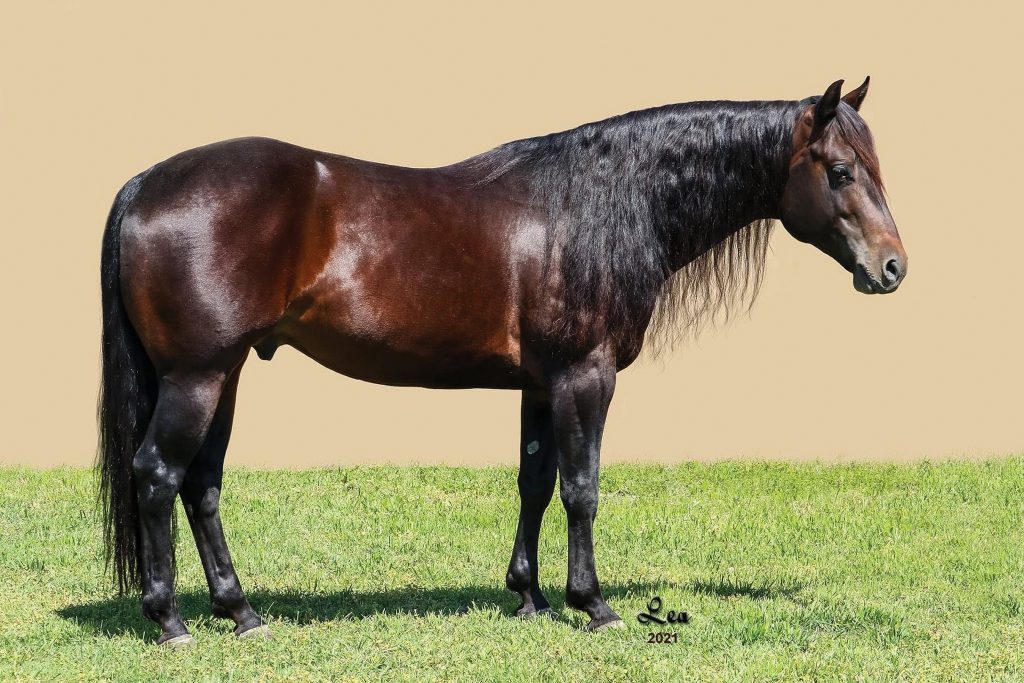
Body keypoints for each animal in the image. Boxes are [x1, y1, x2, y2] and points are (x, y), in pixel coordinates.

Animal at [97, 77, 906, 644]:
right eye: (839, 170)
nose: (893, 267)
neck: (596, 206)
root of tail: (145, 184)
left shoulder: (541, 386)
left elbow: (535, 483)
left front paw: (528, 596)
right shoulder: (585, 377)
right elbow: (581, 488)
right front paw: (593, 603)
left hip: (224, 376)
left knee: (202, 485)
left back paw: (241, 612)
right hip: (197, 378)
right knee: (159, 475)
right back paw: (171, 622)